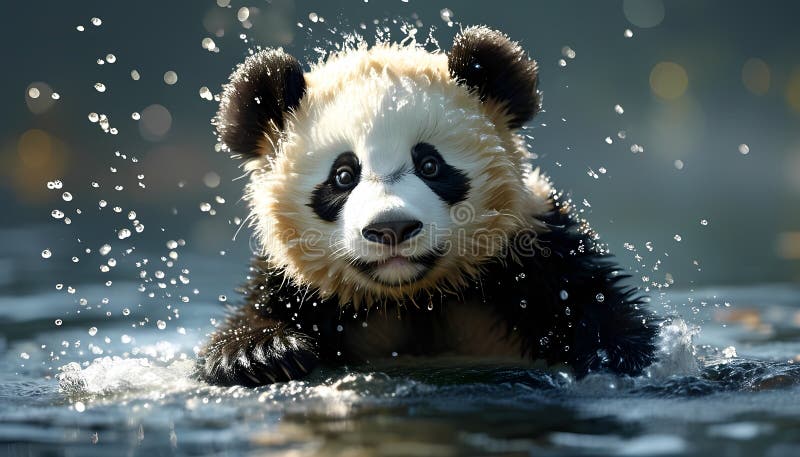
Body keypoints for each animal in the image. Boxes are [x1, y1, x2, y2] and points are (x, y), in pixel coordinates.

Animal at [200, 26, 659, 386]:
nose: (392, 228)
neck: (415, 298)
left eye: (430, 165)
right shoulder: (300, 289)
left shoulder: (529, 255)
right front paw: (262, 354)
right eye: (343, 176)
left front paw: (606, 350)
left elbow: (596, 305)